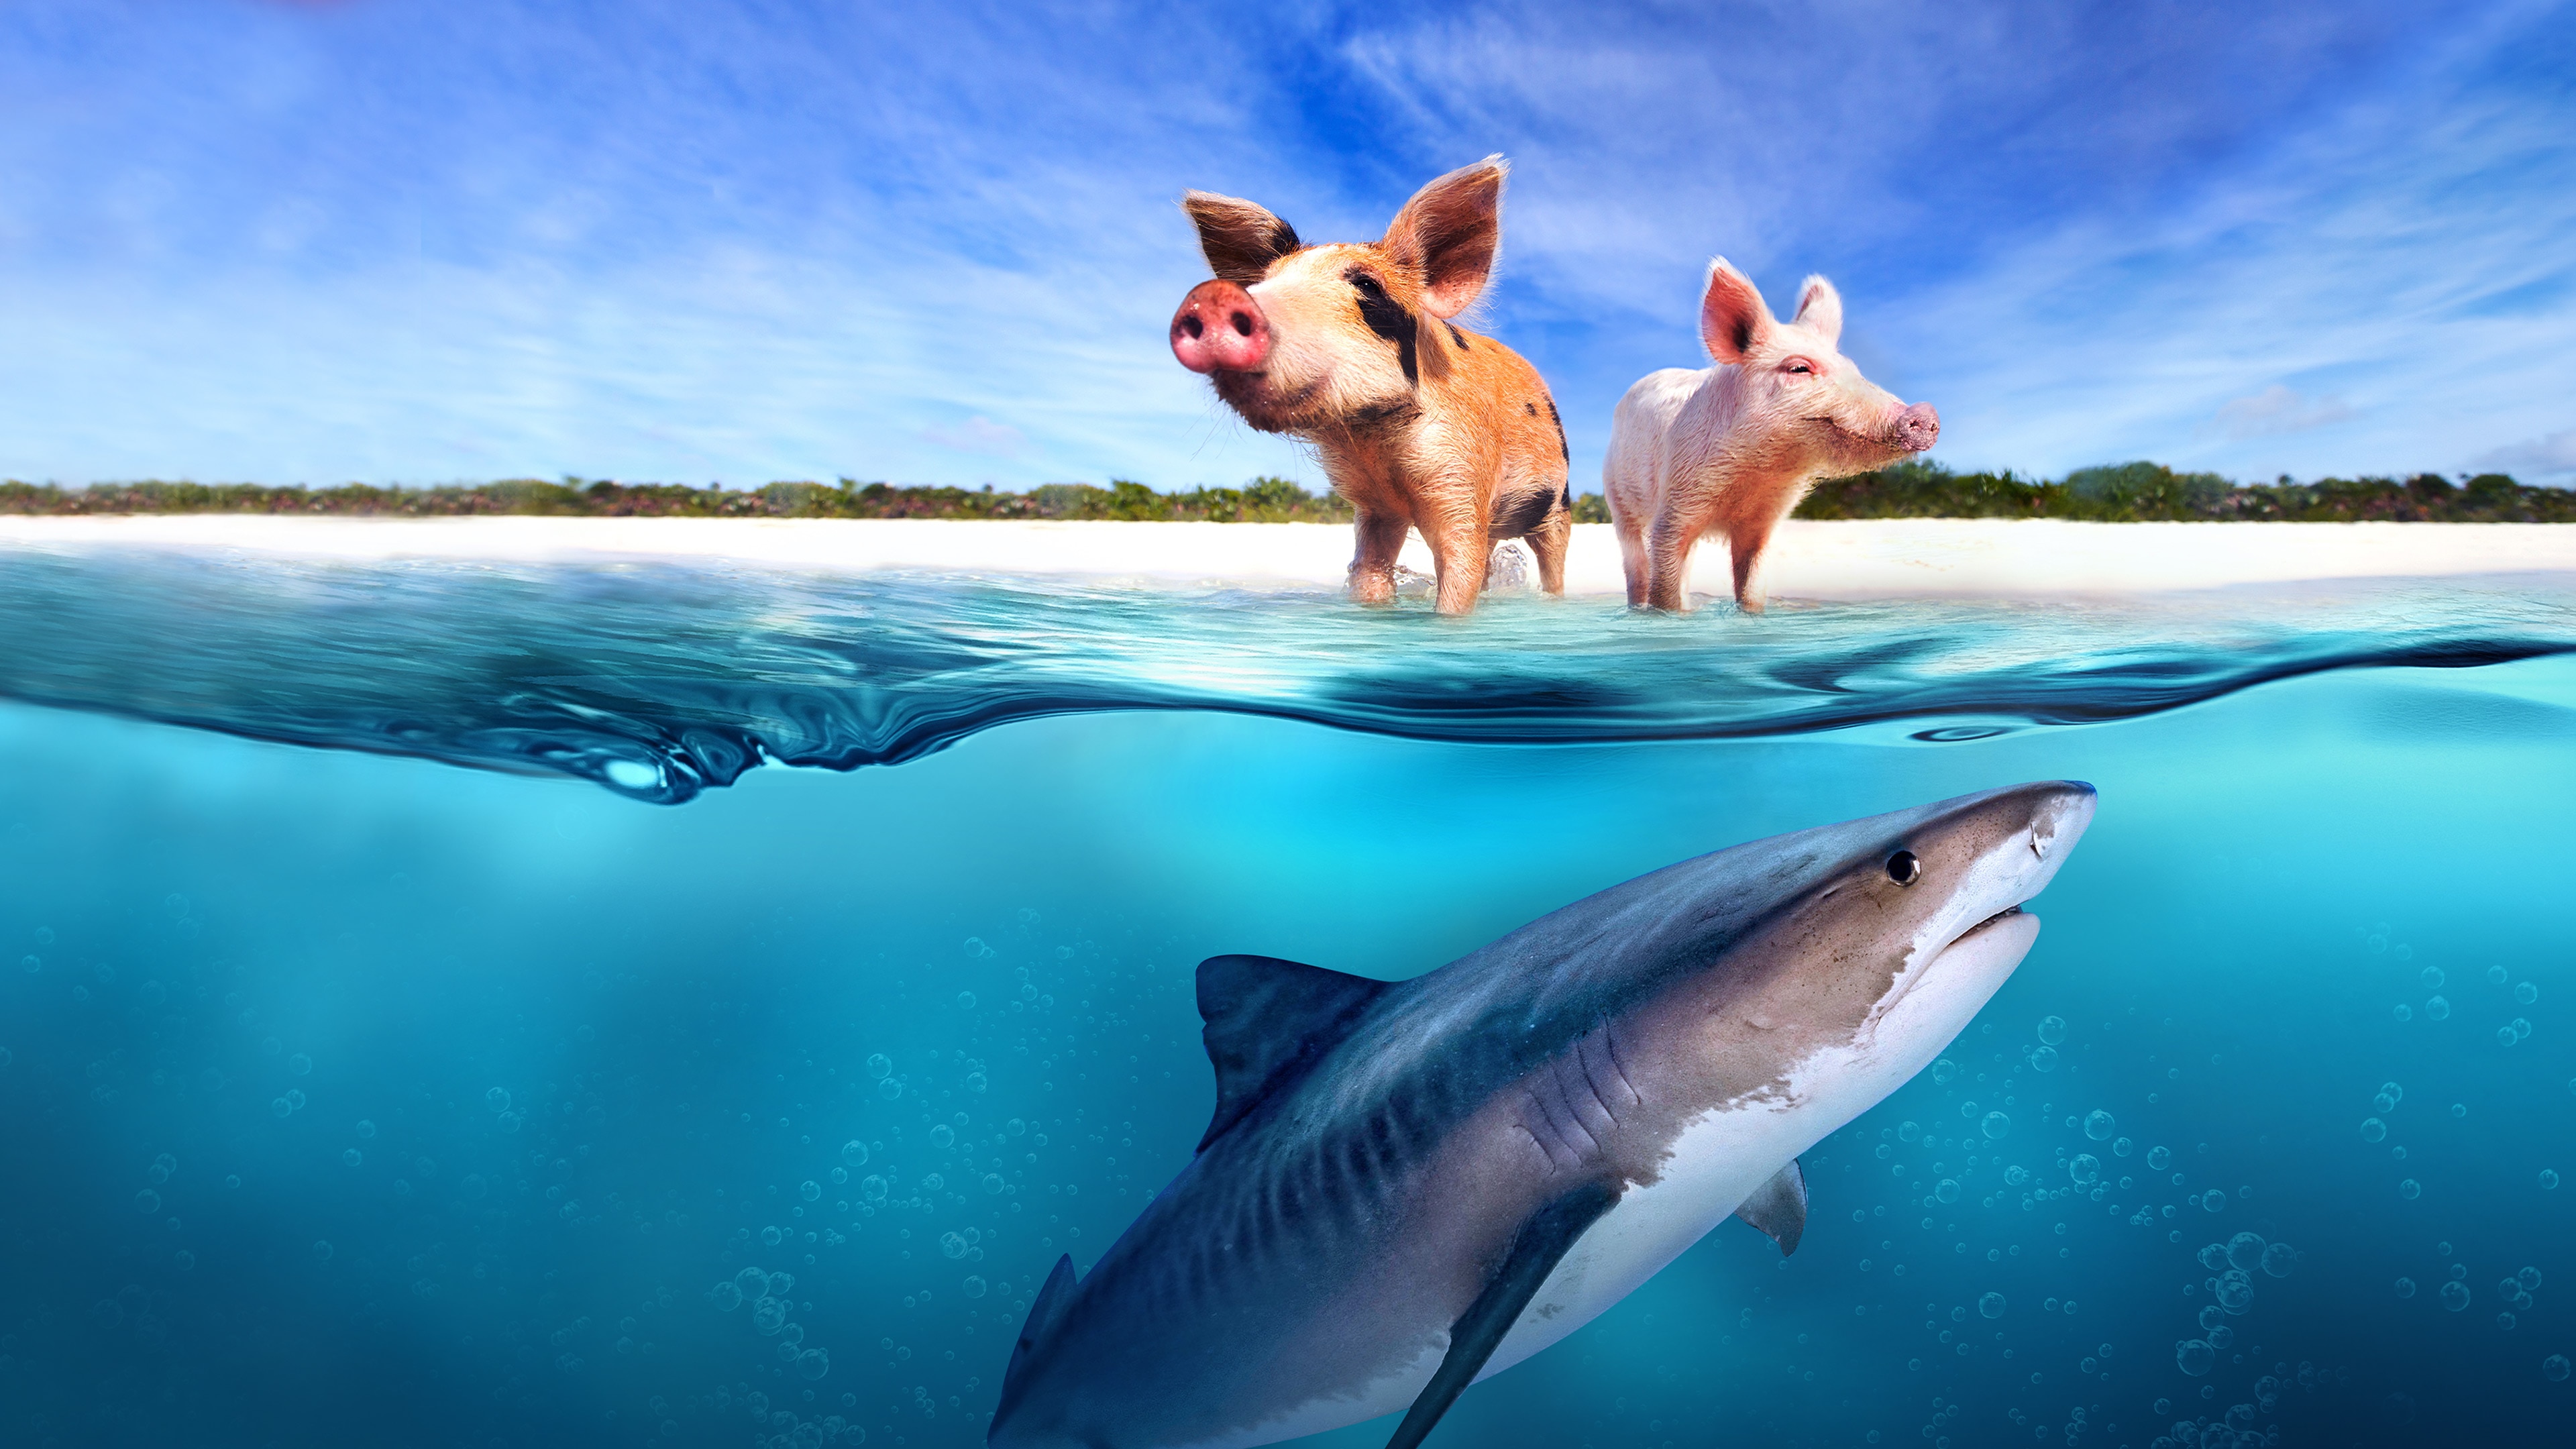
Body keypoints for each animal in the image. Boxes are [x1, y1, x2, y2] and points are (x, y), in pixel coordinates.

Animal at [1168, 157, 1572, 616]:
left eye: (1367, 286)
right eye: (1262, 282)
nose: (1214, 297)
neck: (1377, 444)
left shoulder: (1463, 475)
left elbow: (1459, 574)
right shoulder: (1375, 506)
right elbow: (1370, 571)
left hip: (1558, 505)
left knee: (1552, 563)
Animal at [1604, 259, 1939, 612]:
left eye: (1854, 369)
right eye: (1799, 369)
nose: (1925, 412)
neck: (1759, 471)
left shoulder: (1764, 521)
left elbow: (1752, 588)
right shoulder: (1675, 507)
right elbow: (1665, 590)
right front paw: (1667, 617)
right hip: (1617, 500)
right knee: (1636, 566)